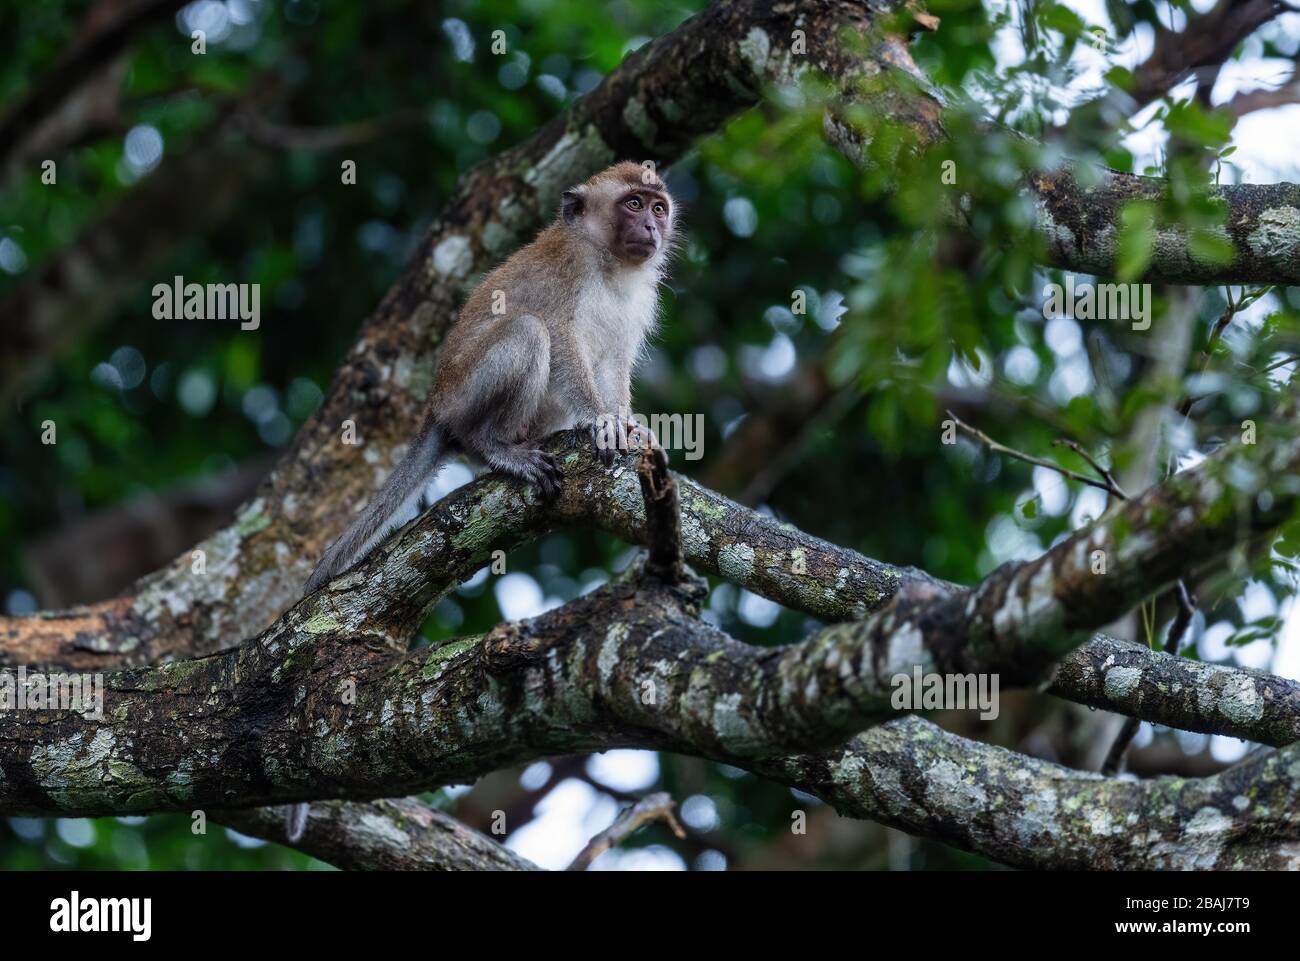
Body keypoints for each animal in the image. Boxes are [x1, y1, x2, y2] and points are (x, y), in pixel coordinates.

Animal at [284, 162, 676, 842]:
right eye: (632, 204)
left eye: (657, 205)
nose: (651, 227)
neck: (608, 262)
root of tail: (436, 409)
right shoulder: (567, 272)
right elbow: (561, 338)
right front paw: (602, 422)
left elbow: (615, 363)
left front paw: (628, 422)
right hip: (467, 394)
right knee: (526, 333)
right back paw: (494, 447)